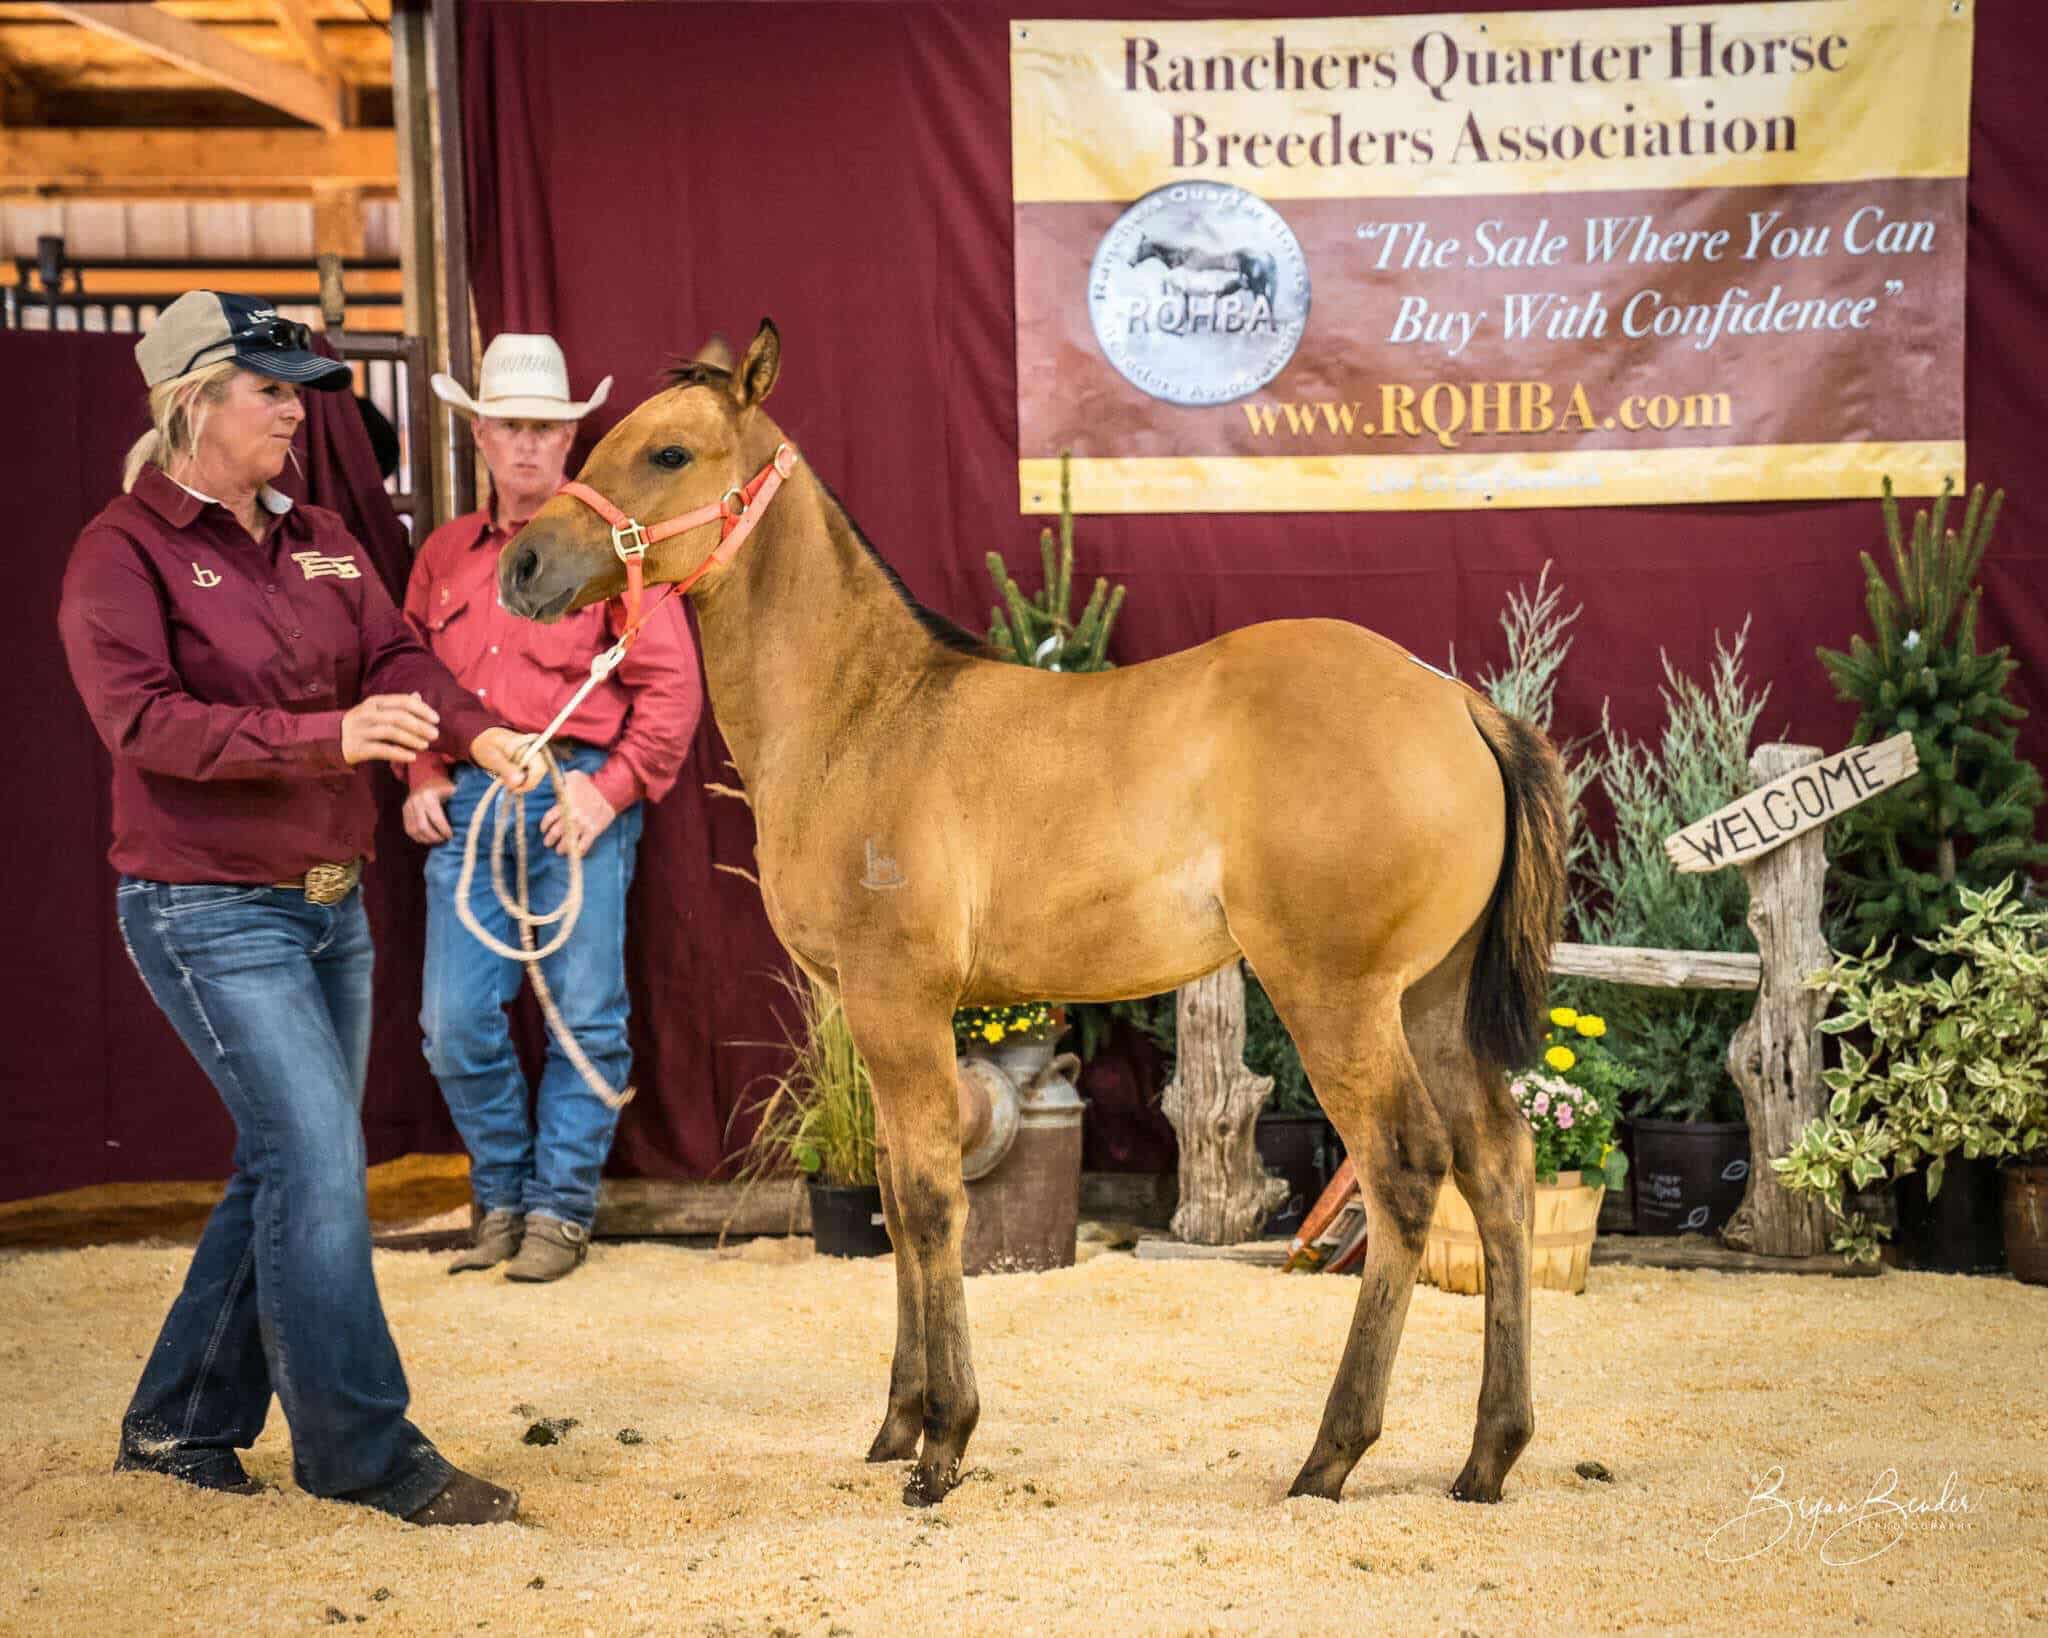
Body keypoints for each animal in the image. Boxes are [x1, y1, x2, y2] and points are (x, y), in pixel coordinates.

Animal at [496, 320, 1568, 1512]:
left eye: (670, 452)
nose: (520, 566)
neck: (863, 714)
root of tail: (1458, 703)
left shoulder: (898, 1001)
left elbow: (927, 1202)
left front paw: (942, 1443)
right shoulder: (876, 1014)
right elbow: (894, 1188)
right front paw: (896, 1425)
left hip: (1338, 998)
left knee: (1405, 1171)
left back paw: (1329, 1456)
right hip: (1430, 1002)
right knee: (1499, 1166)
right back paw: (1487, 1455)